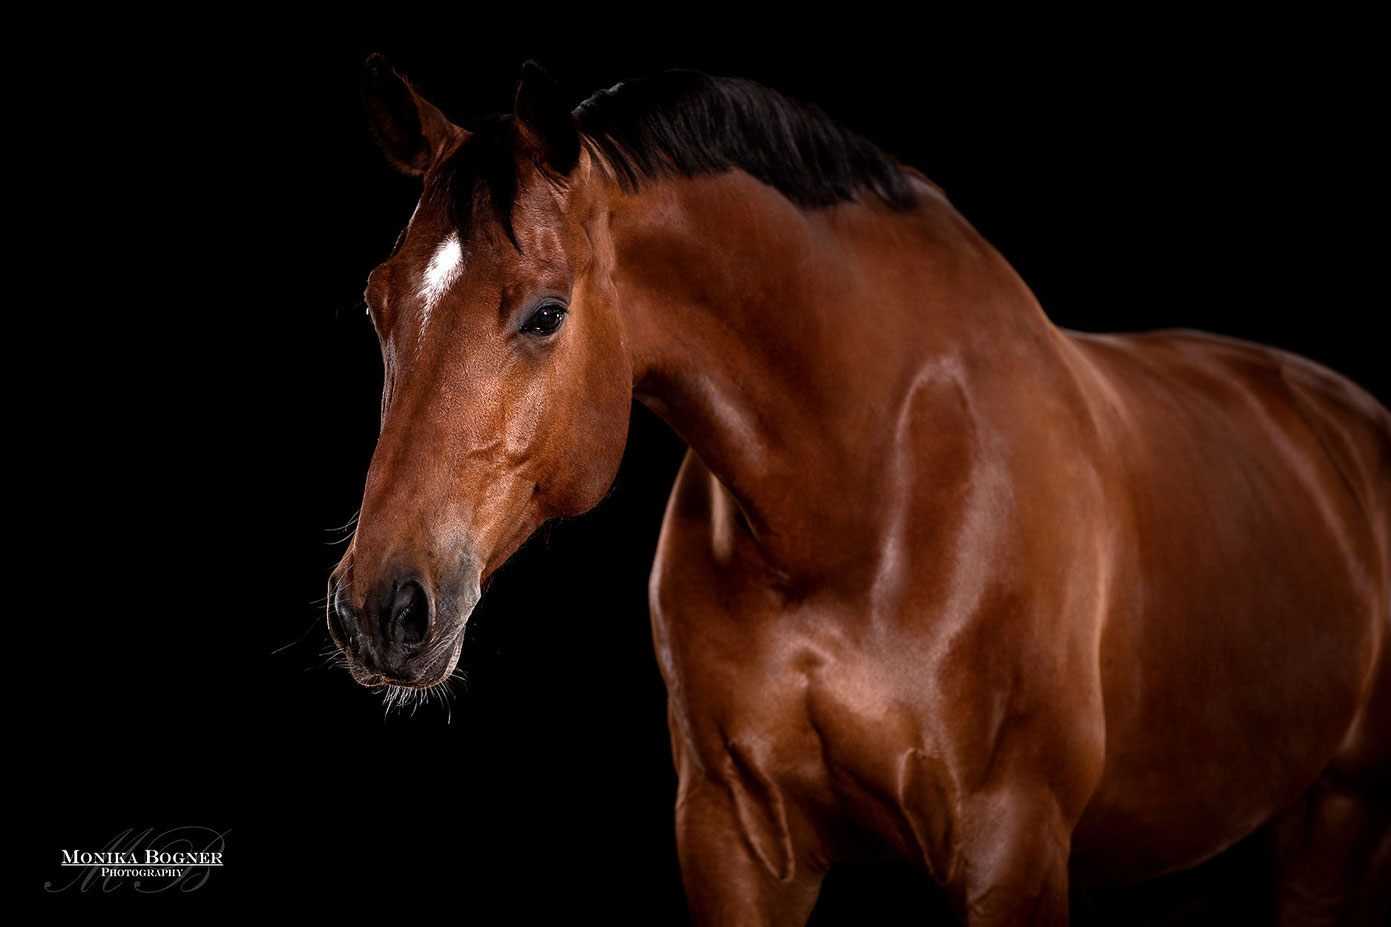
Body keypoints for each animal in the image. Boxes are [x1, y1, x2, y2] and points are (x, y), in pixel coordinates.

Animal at [327, 55, 1390, 925]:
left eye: (545, 314)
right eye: (377, 303)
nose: (380, 608)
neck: (859, 499)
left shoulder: (1011, 847)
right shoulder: (732, 841)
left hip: (1335, 828)